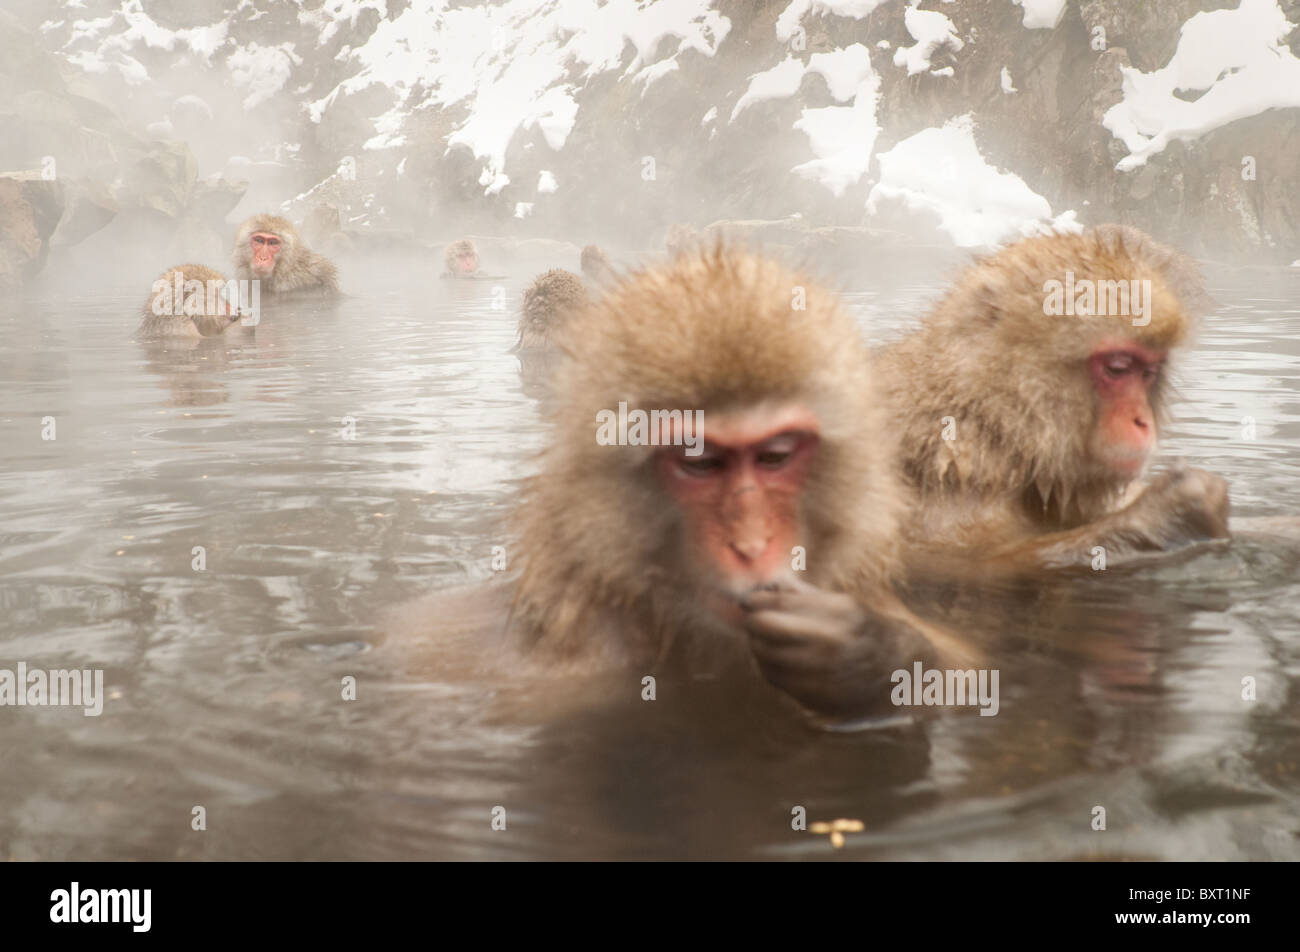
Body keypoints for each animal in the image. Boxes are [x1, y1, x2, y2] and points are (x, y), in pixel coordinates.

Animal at [876, 225, 1230, 576]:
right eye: (1118, 367)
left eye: (1149, 372)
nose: (1143, 421)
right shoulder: (954, 472)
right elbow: (964, 563)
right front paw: (1176, 510)